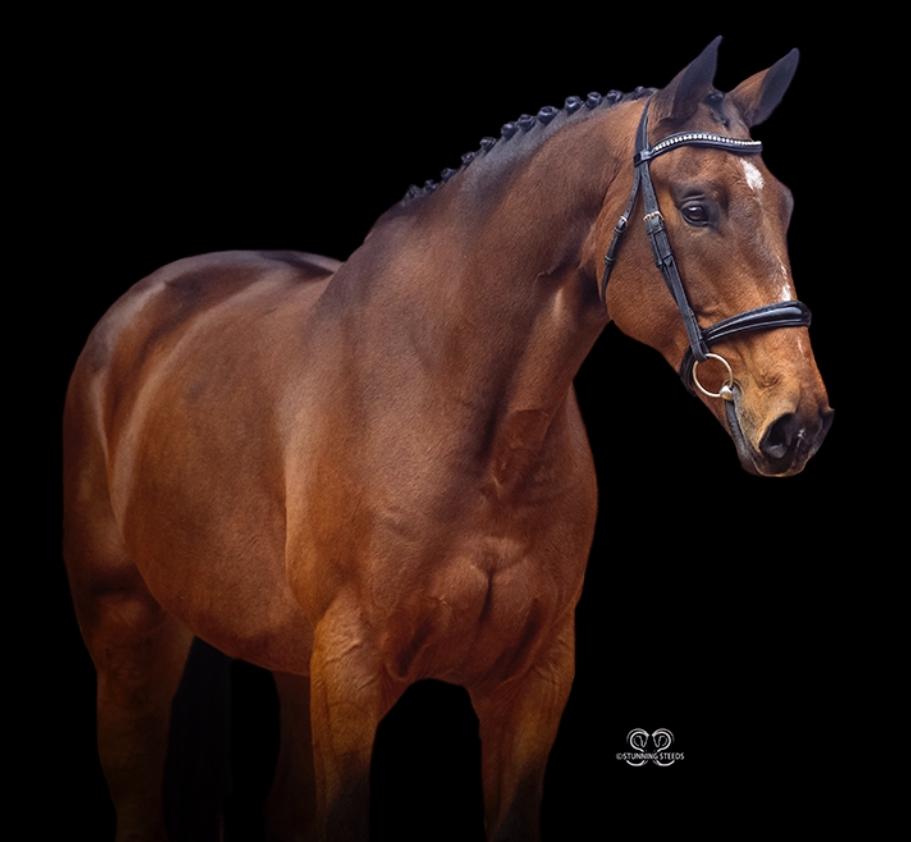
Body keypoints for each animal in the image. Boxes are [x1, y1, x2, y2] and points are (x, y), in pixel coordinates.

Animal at [62, 36, 833, 841]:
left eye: (783, 205)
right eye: (696, 207)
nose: (798, 422)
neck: (472, 428)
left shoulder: (531, 681)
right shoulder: (350, 673)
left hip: (287, 660)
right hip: (129, 632)